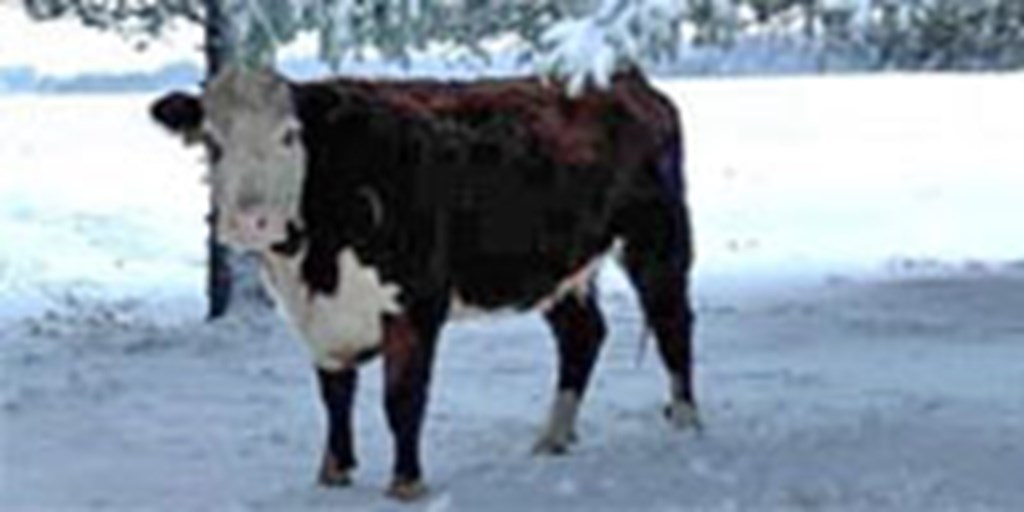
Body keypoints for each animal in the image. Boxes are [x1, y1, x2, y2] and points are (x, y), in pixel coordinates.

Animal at [150, 65, 697, 500]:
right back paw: (552, 438)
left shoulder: (415, 303)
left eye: (289, 136)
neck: (318, 261)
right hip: (559, 269)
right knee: (582, 335)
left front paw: (406, 483)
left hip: (657, 240)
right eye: (212, 142)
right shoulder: (321, 320)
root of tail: (625, 79)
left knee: (673, 323)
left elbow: (402, 399)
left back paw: (687, 422)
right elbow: (335, 397)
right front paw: (333, 473)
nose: (249, 221)